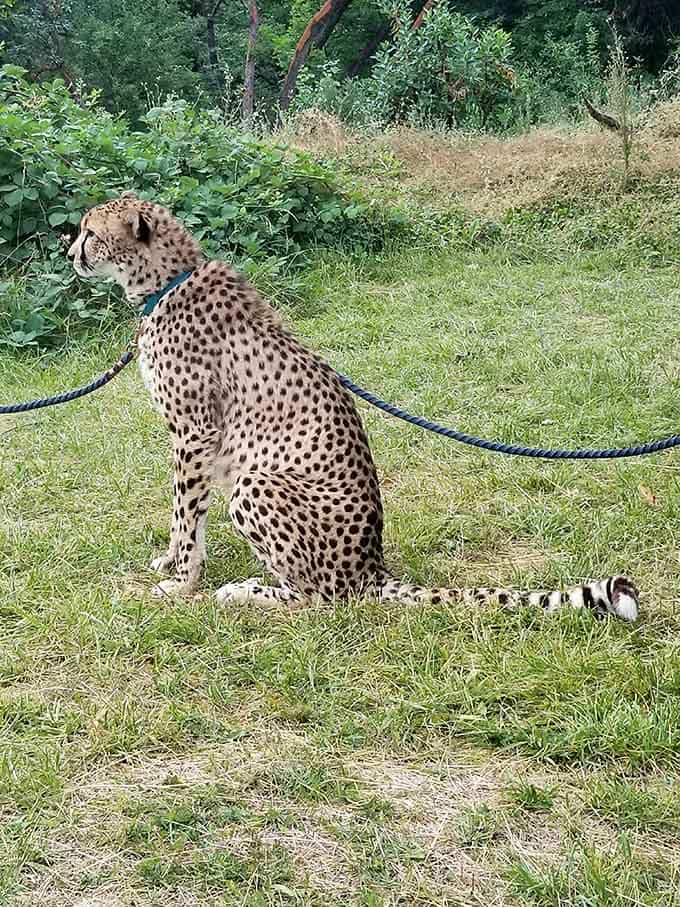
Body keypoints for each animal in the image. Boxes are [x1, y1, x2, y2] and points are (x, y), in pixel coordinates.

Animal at [67, 193, 640, 621]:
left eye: (90, 232)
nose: (70, 254)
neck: (165, 283)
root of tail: (371, 567)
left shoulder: (195, 432)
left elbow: (186, 513)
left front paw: (183, 583)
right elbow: (181, 516)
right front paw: (170, 564)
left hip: (257, 483)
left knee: (324, 597)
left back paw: (247, 592)